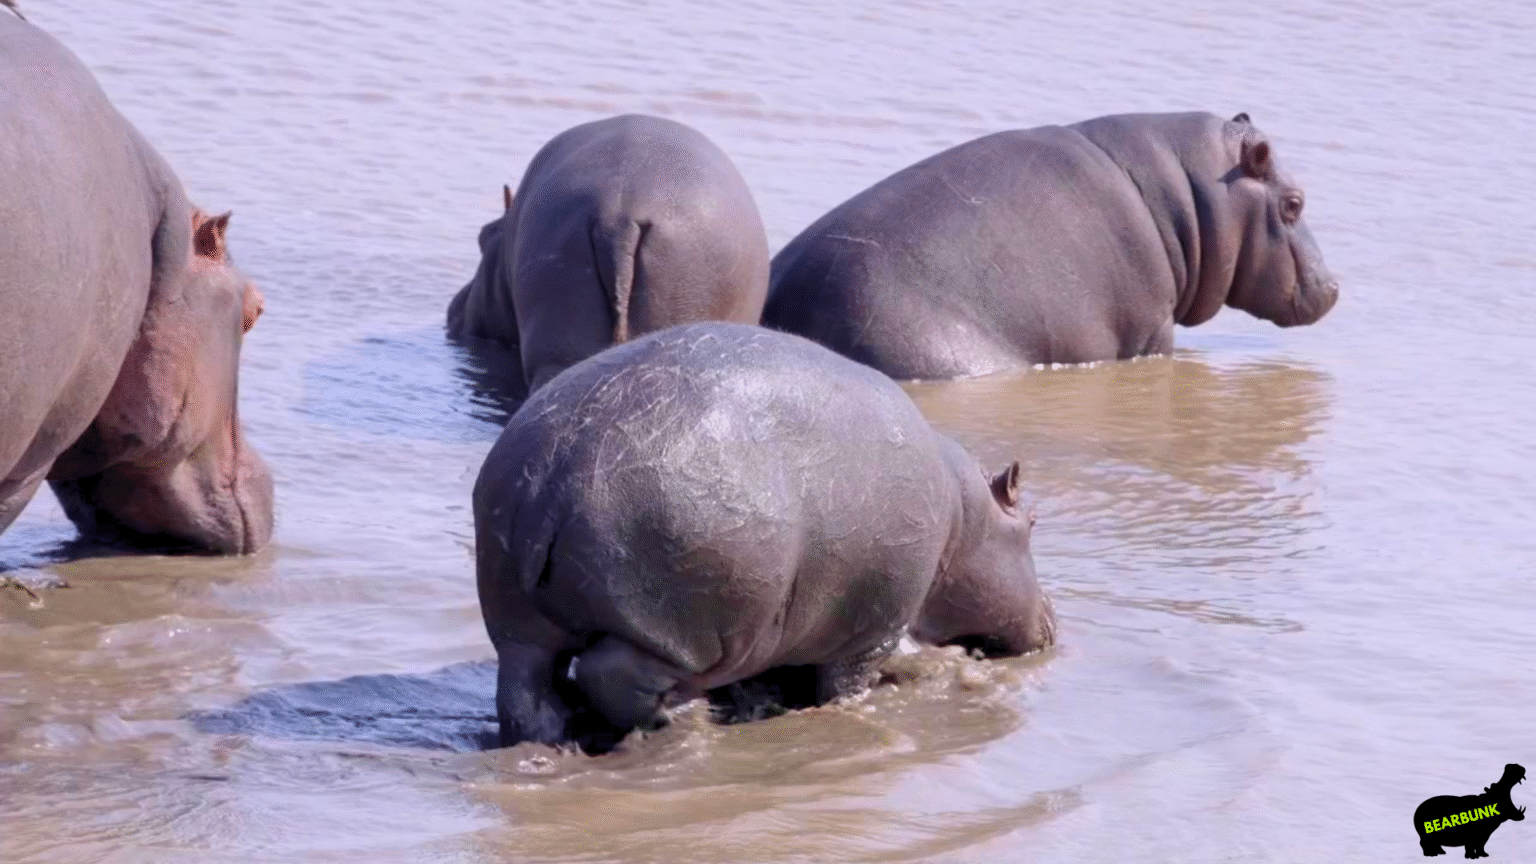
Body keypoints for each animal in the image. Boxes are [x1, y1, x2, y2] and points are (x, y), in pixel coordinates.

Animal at [473, 321, 1056, 753]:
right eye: (1031, 524)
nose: (1053, 620)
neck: (966, 519)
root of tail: (559, 468)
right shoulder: (876, 626)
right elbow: (851, 681)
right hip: (667, 627)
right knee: (611, 675)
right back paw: (680, 720)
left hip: (515, 616)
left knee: (526, 692)